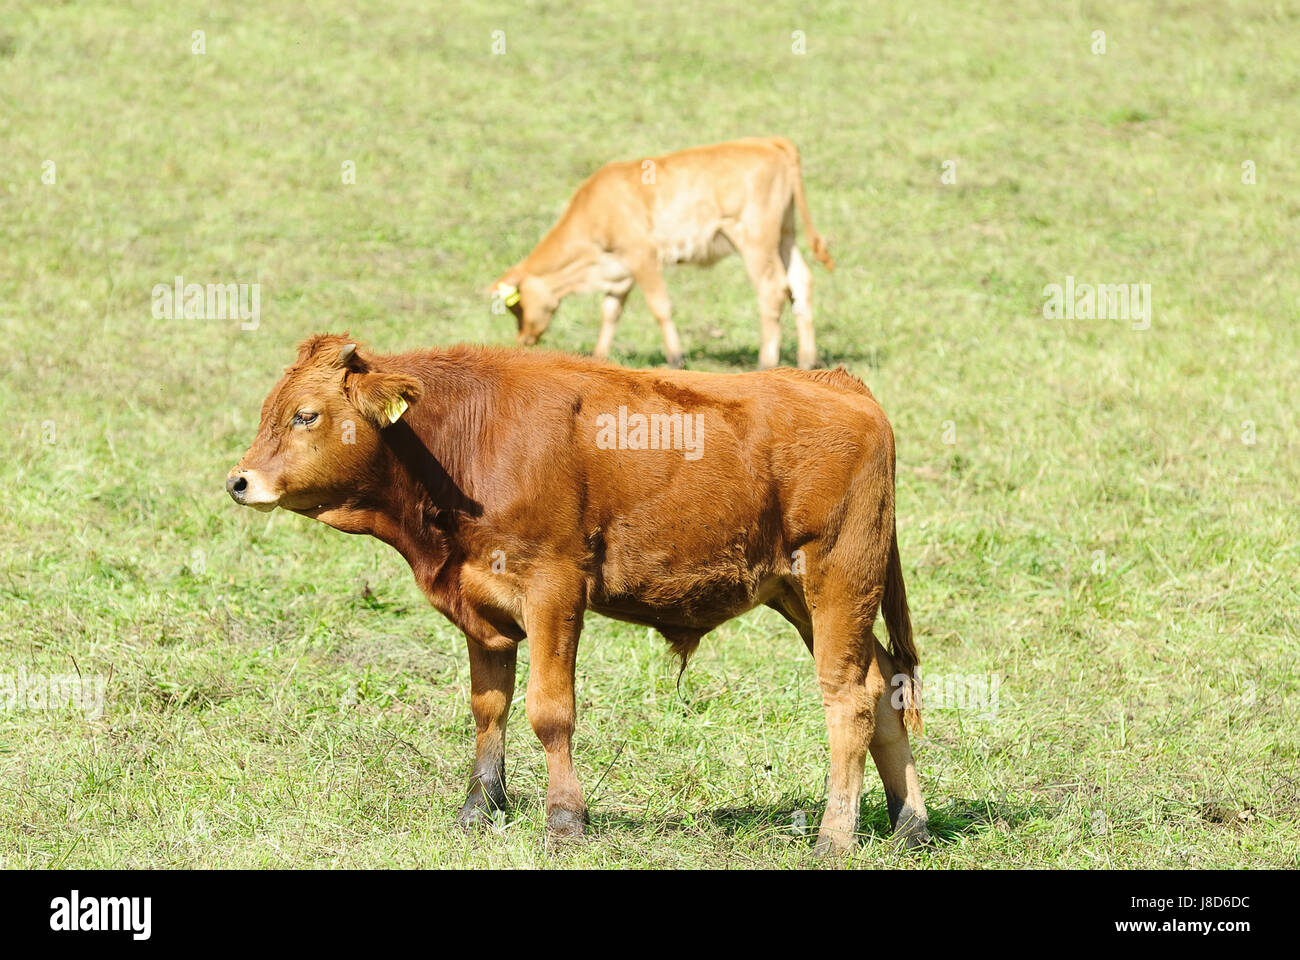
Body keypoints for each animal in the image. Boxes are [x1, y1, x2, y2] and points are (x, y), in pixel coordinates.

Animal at [226, 334, 928, 855]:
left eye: (306, 415)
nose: (239, 481)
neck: (468, 441)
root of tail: (838, 383)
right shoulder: (481, 605)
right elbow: (489, 706)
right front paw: (479, 807)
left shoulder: (554, 589)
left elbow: (549, 711)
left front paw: (565, 820)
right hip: (804, 595)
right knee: (883, 687)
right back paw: (909, 824)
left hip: (839, 581)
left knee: (849, 700)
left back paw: (835, 837)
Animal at [490, 136, 834, 372]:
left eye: (515, 305)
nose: (522, 340)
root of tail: (769, 142)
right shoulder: (622, 268)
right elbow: (610, 311)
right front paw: (599, 356)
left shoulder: (642, 256)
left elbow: (660, 306)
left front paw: (676, 358)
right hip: (784, 236)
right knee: (801, 283)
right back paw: (806, 360)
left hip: (755, 238)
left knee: (772, 289)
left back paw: (766, 362)